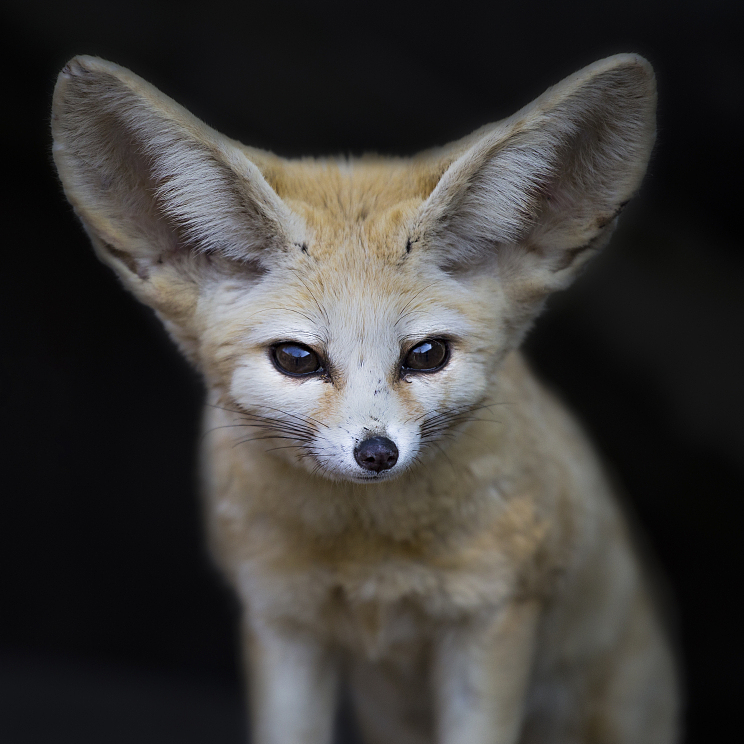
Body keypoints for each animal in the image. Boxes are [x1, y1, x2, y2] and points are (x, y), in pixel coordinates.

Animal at [51, 53, 680, 744]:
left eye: (426, 355)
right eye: (297, 359)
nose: (376, 453)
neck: (368, 554)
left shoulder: (491, 618)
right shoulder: (281, 619)